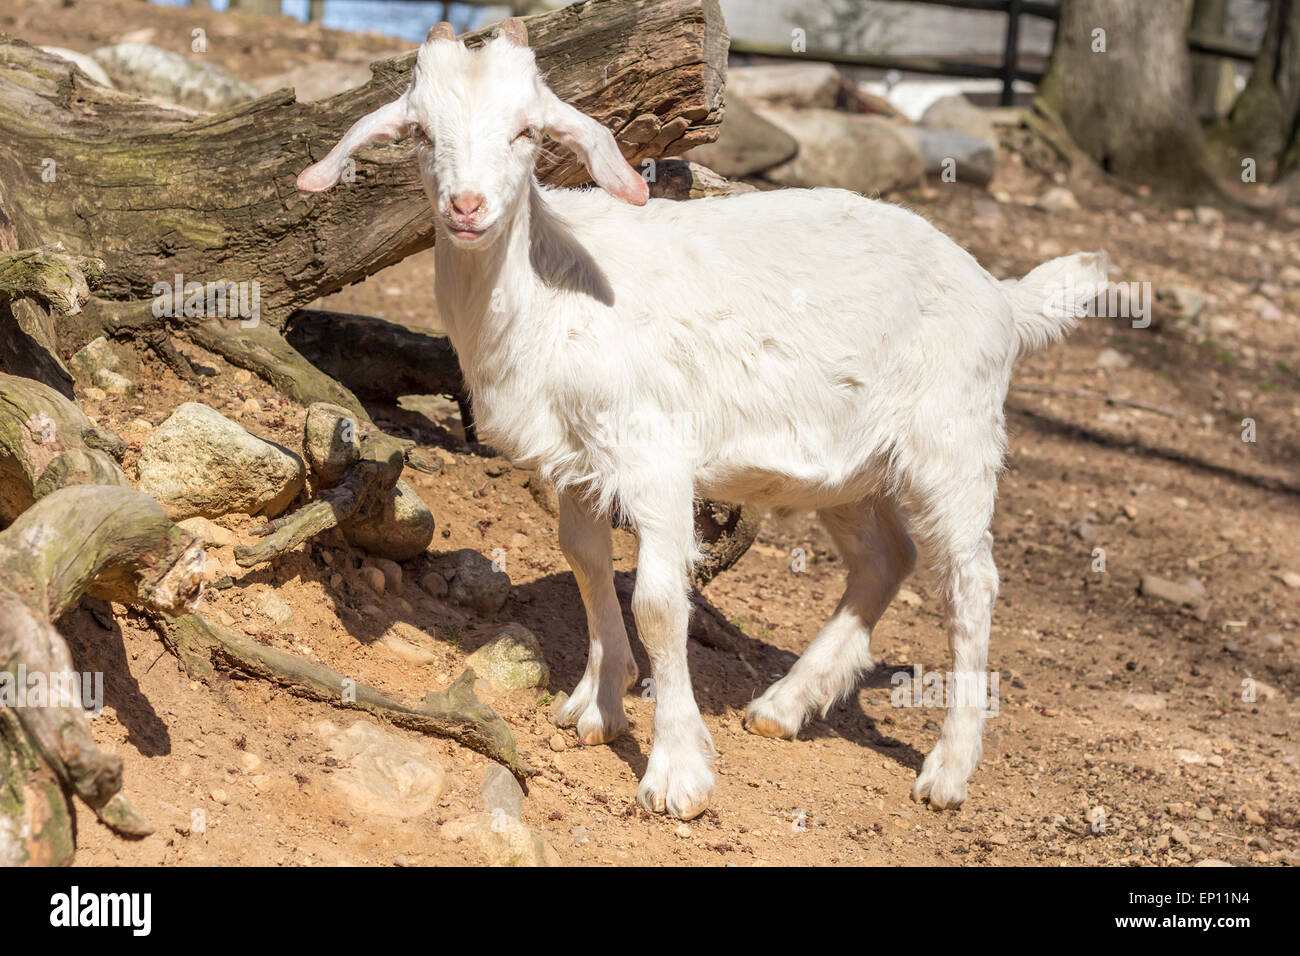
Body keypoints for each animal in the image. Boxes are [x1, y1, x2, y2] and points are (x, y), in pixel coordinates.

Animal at [298, 18, 1108, 820]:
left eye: (527, 132)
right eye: (422, 133)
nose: (466, 208)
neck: (547, 288)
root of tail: (1002, 297)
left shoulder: (653, 450)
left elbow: (658, 602)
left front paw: (676, 770)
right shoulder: (576, 461)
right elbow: (587, 565)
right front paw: (600, 704)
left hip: (953, 437)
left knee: (971, 583)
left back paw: (948, 768)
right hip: (850, 462)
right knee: (886, 559)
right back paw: (785, 705)